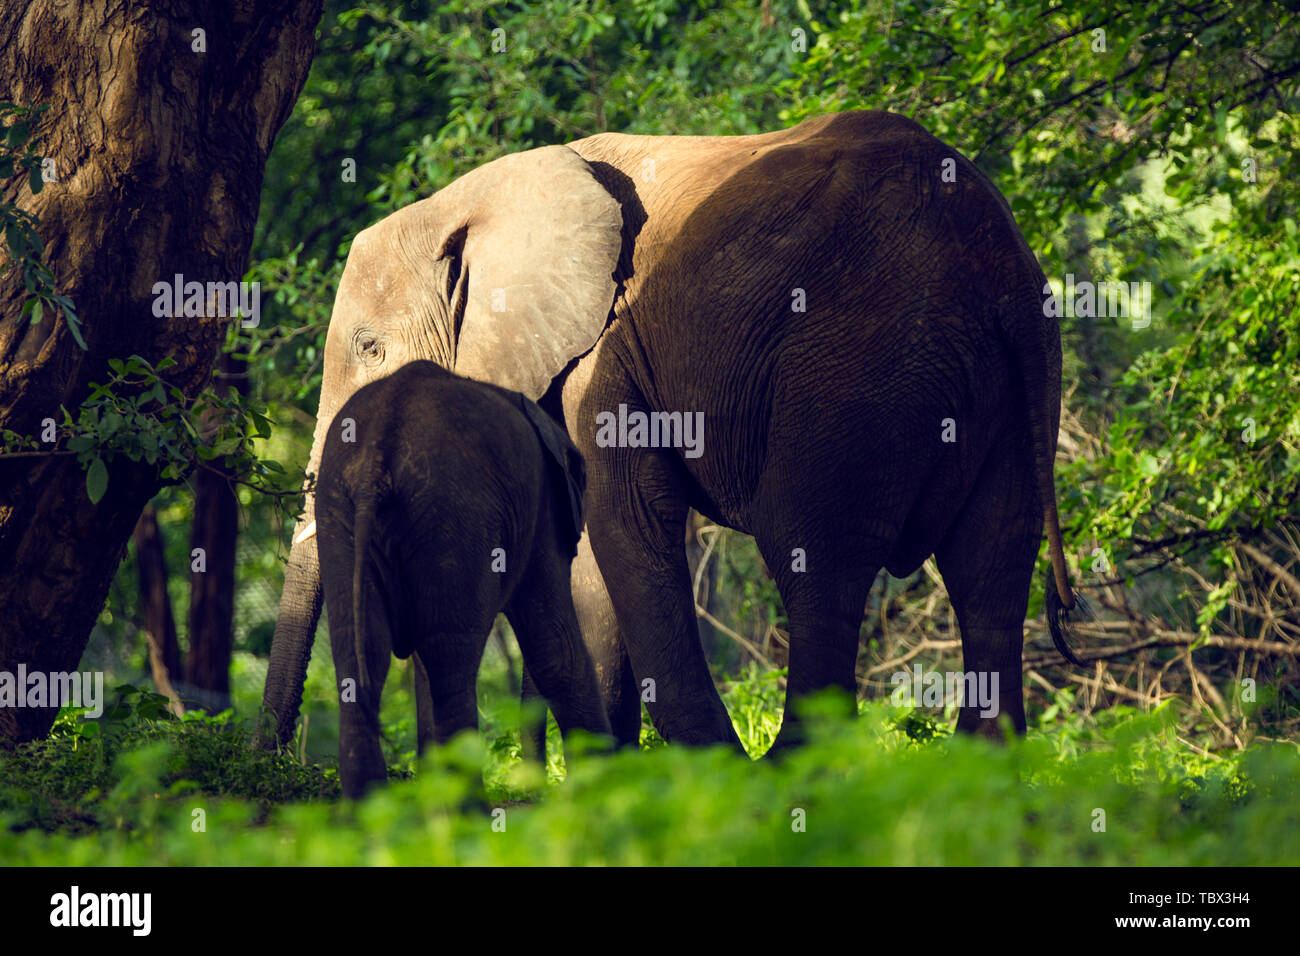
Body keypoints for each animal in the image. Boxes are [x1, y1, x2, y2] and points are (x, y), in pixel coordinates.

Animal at [315, 360, 611, 797]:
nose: (535, 789)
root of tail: (377, 452)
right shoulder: (542, 511)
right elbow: (555, 647)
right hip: (453, 513)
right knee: (450, 659)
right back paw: (468, 808)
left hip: (339, 510)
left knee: (361, 649)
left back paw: (369, 809)